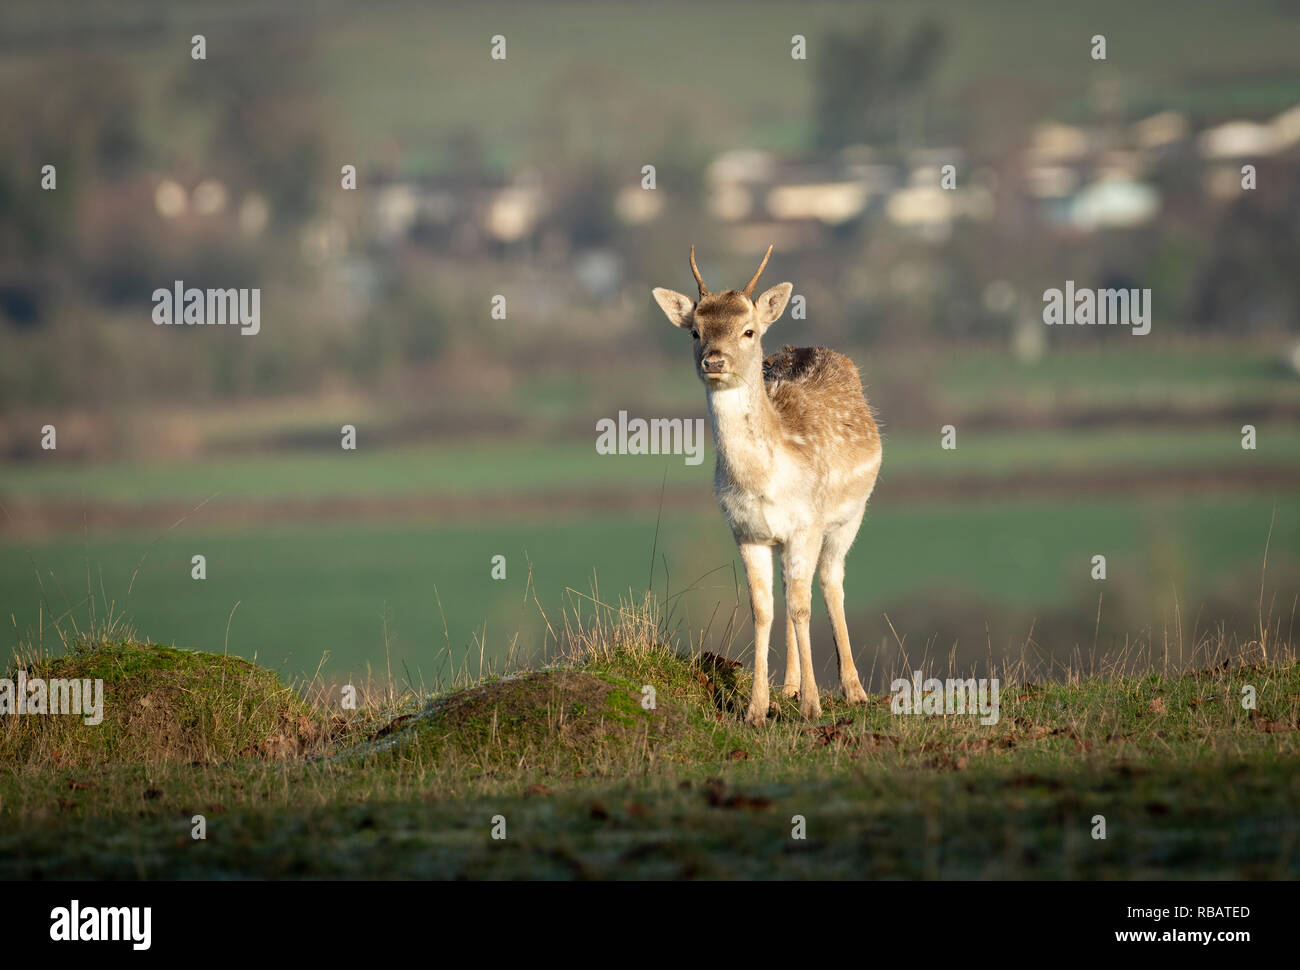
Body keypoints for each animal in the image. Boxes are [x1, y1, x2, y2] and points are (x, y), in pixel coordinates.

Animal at [652, 245, 882, 725]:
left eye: (748, 330)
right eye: (695, 331)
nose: (714, 361)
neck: (764, 480)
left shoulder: (806, 524)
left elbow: (800, 606)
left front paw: (813, 705)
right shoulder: (747, 532)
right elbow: (763, 610)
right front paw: (757, 709)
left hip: (849, 517)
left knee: (830, 581)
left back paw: (853, 690)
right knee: (791, 587)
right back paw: (791, 686)